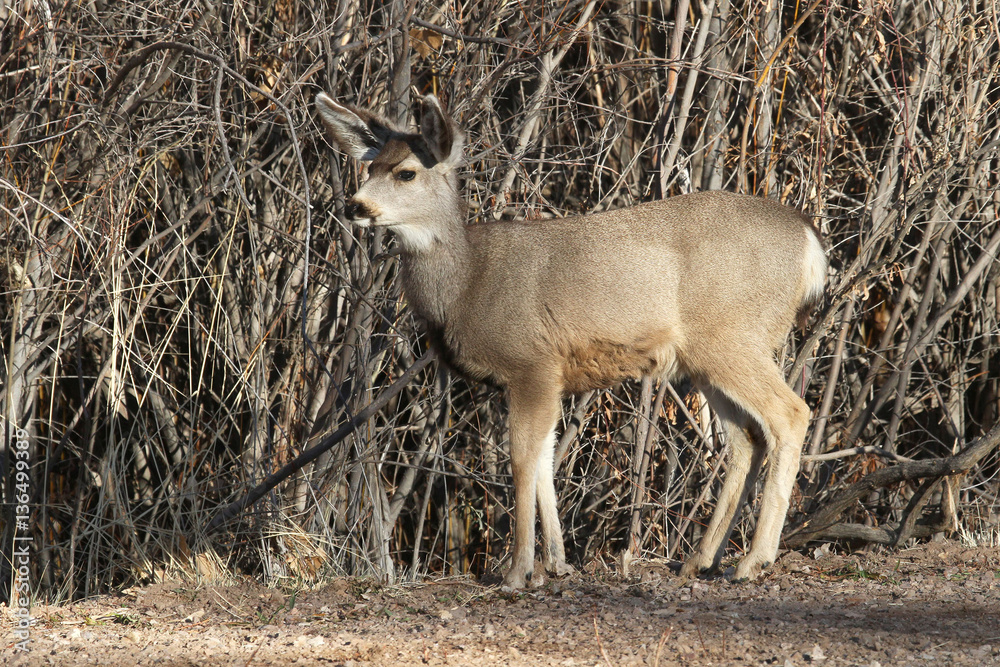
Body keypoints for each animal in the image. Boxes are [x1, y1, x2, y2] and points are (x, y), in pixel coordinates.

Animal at [315, 91, 827, 590]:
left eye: (406, 172)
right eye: (370, 167)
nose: (355, 206)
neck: (467, 284)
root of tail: (810, 242)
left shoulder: (531, 363)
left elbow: (523, 458)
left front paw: (518, 570)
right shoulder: (552, 377)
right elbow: (546, 457)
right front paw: (557, 563)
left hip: (733, 336)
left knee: (790, 414)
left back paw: (754, 561)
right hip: (705, 357)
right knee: (746, 439)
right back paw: (700, 561)